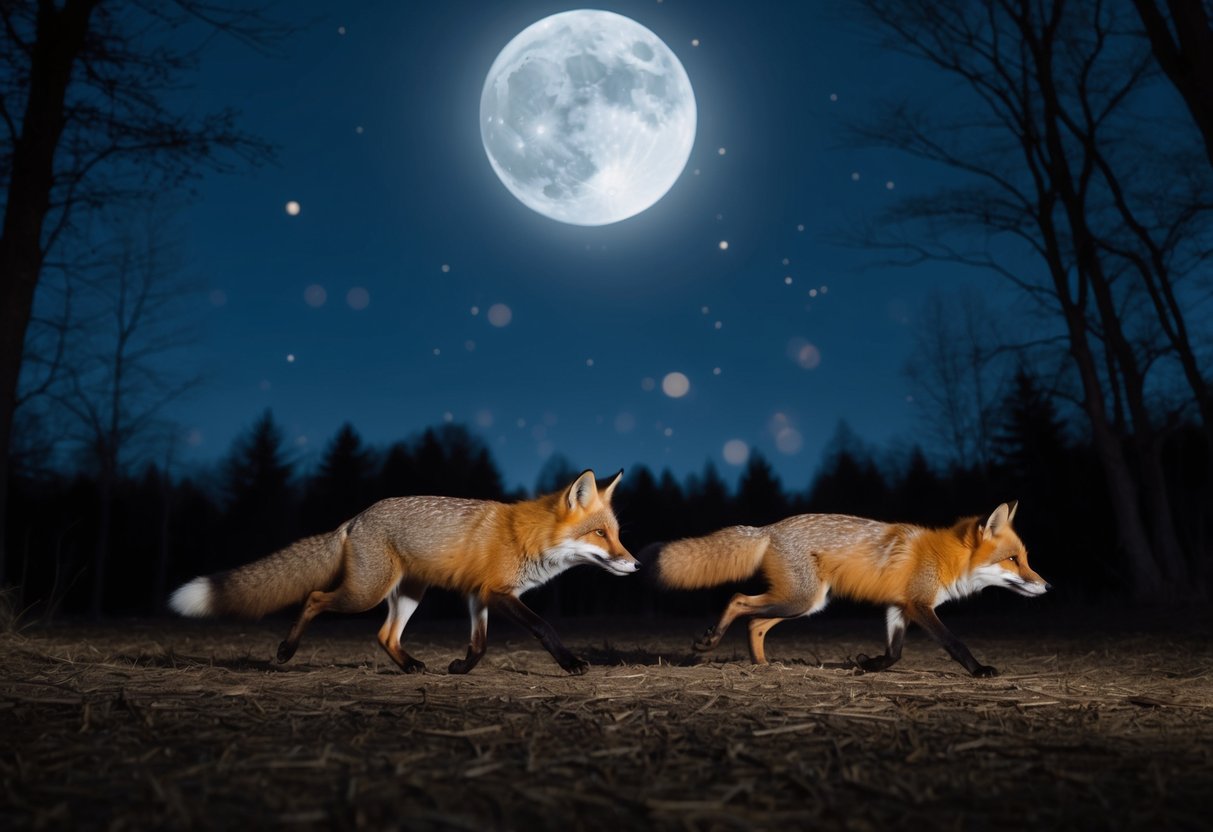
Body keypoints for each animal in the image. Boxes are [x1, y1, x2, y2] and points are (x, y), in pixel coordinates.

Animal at [170, 469, 638, 675]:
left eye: (617, 534)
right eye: (600, 534)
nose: (635, 564)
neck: (527, 536)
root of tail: (356, 518)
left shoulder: (478, 595)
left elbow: (480, 644)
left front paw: (460, 669)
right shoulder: (497, 593)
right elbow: (543, 628)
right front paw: (570, 662)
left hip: (409, 595)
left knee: (385, 635)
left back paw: (410, 664)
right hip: (366, 594)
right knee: (315, 599)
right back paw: (286, 651)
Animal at [645, 502, 1049, 677]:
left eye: (1025, 558)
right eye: (1013, 559)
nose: (1047, 585)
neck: (945, 556)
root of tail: (769, 527)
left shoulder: (898, 607)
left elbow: (895, 654)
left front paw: (869, 665)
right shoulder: (920, 605)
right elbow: (954, 643)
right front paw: (979, 670)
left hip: (805, 603)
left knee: (755, 623)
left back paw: (761, 664)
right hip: (800, 600)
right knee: (738, 600)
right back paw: (709, 642)